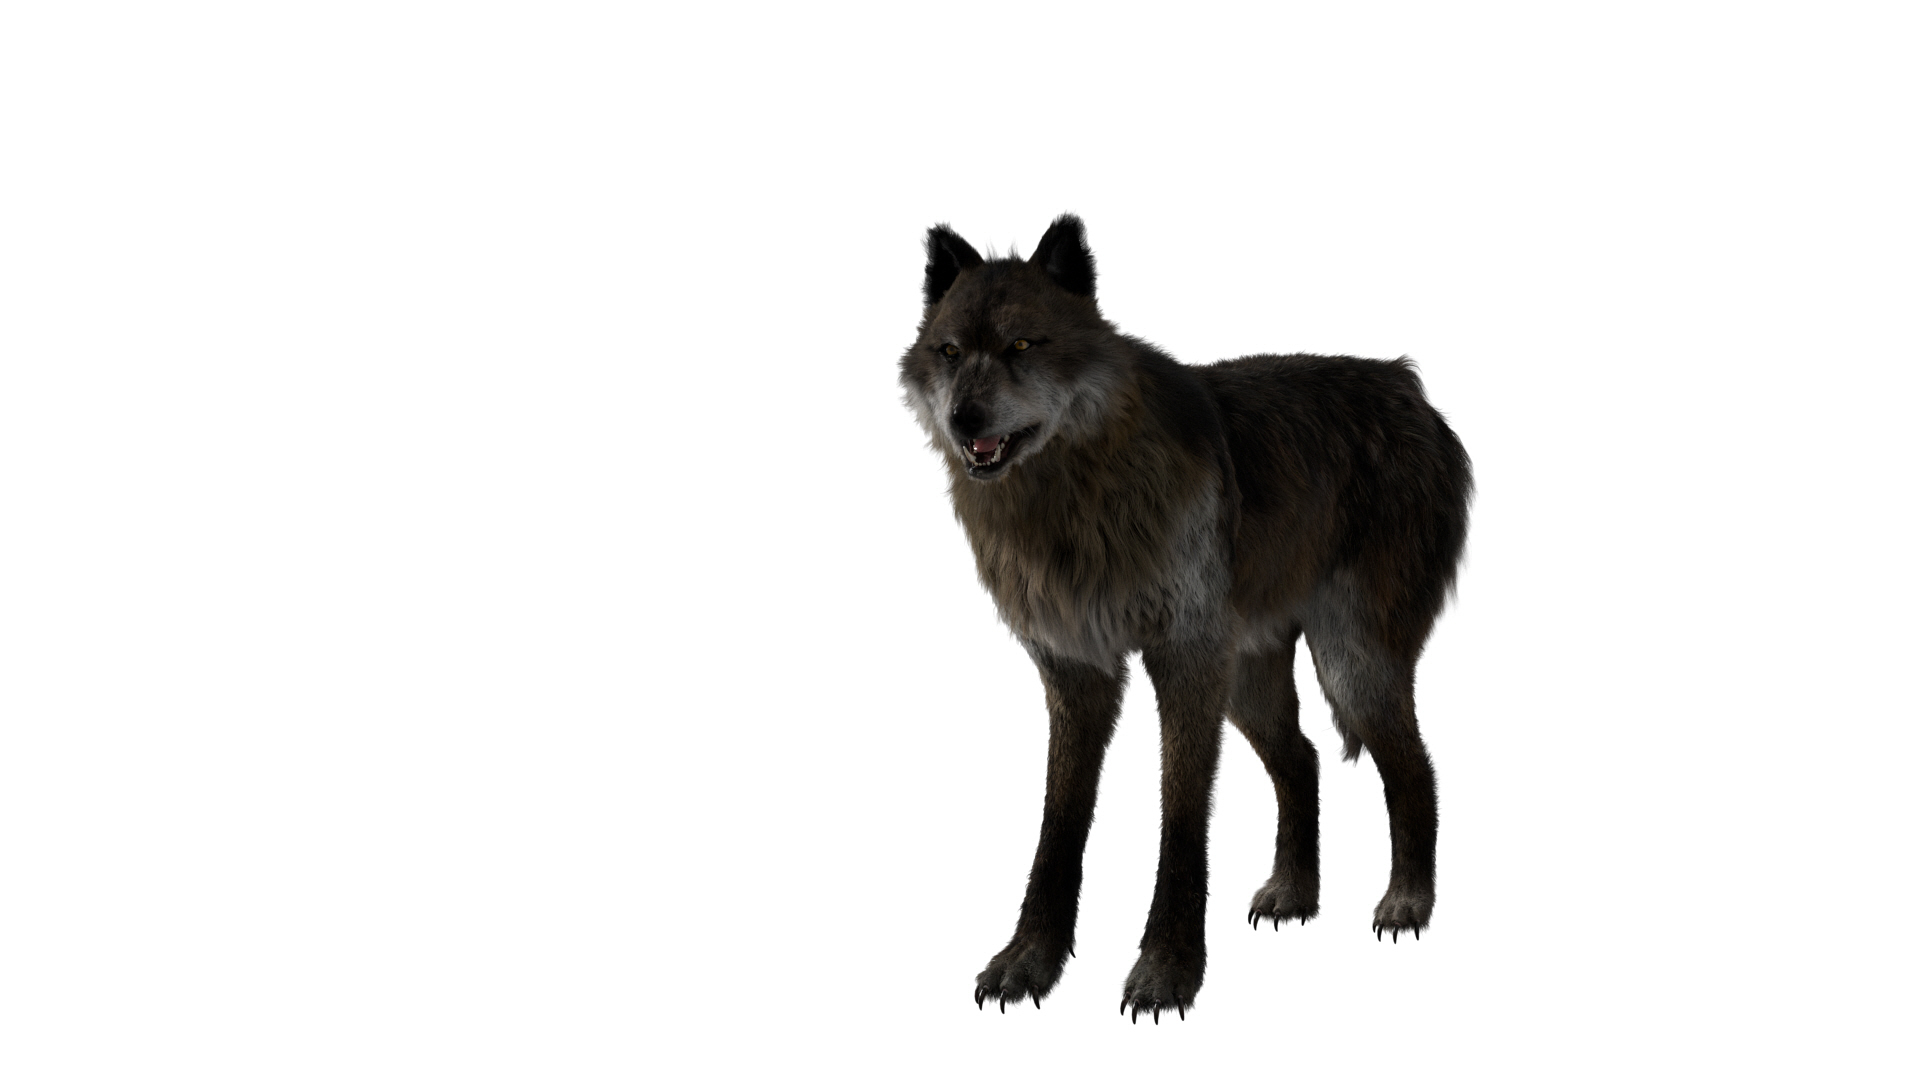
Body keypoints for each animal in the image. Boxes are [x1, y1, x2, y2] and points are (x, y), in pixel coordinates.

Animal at [899, 215, 1472, 1022]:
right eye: (949, 352)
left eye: (1022, 346)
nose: (963, 418)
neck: (1077, 497)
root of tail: (1405, 382)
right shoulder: (1078, 676)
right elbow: (1058, 824)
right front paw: (1028, 961)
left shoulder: (1186, 660)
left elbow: (1181, 819)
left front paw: (1167, 969)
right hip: (1251, 683)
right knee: (1303, 758)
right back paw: (1294, 893)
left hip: (1347, 665)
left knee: (1415, 767)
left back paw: (1408, 902)